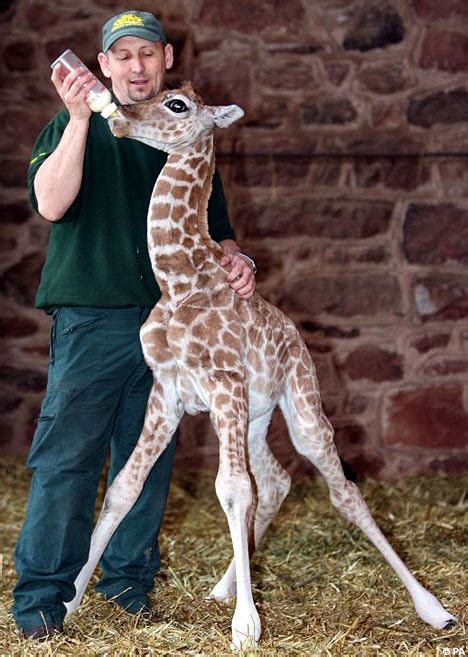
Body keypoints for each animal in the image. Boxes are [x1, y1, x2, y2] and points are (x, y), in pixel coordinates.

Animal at [65, 84, 457, 649]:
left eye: (177, 104)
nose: (121, 116)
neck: (178, 281)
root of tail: (298, 338)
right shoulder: (169, 391)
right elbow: (123, 489)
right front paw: (68, 599)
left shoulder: (223, 382)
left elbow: (231, 490)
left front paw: (246, 628)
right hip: (254, 417)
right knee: (275, 483)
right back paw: (222, 587)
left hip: (301, 409)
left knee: (342, 492)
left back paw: (434, 609)